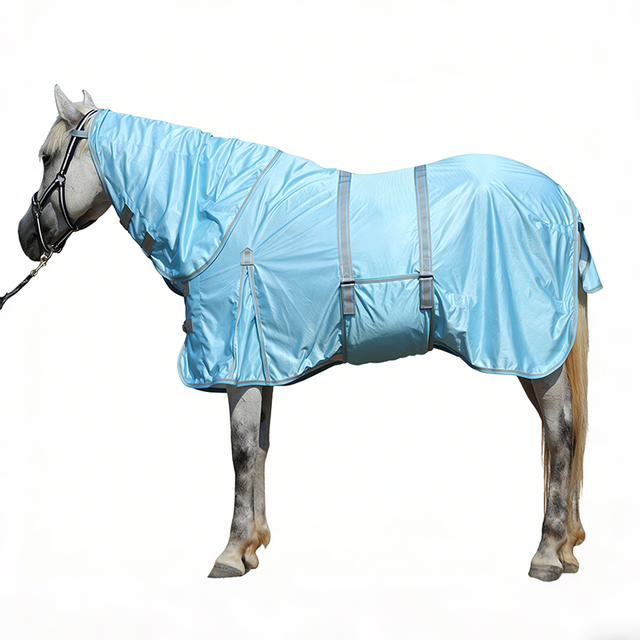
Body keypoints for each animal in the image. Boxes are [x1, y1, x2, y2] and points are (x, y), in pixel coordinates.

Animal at [12, 86, 601, 582]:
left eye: (45, 156)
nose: (25, 236)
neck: (219, 211)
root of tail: (563, 205)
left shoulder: (238, 363)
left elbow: (241, 451)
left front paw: (231, 552)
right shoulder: (259, 362)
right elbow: (260, 447)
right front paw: (253, 545)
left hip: (532, 350)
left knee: (561, 431)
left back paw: (548, 553)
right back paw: (567, 547)